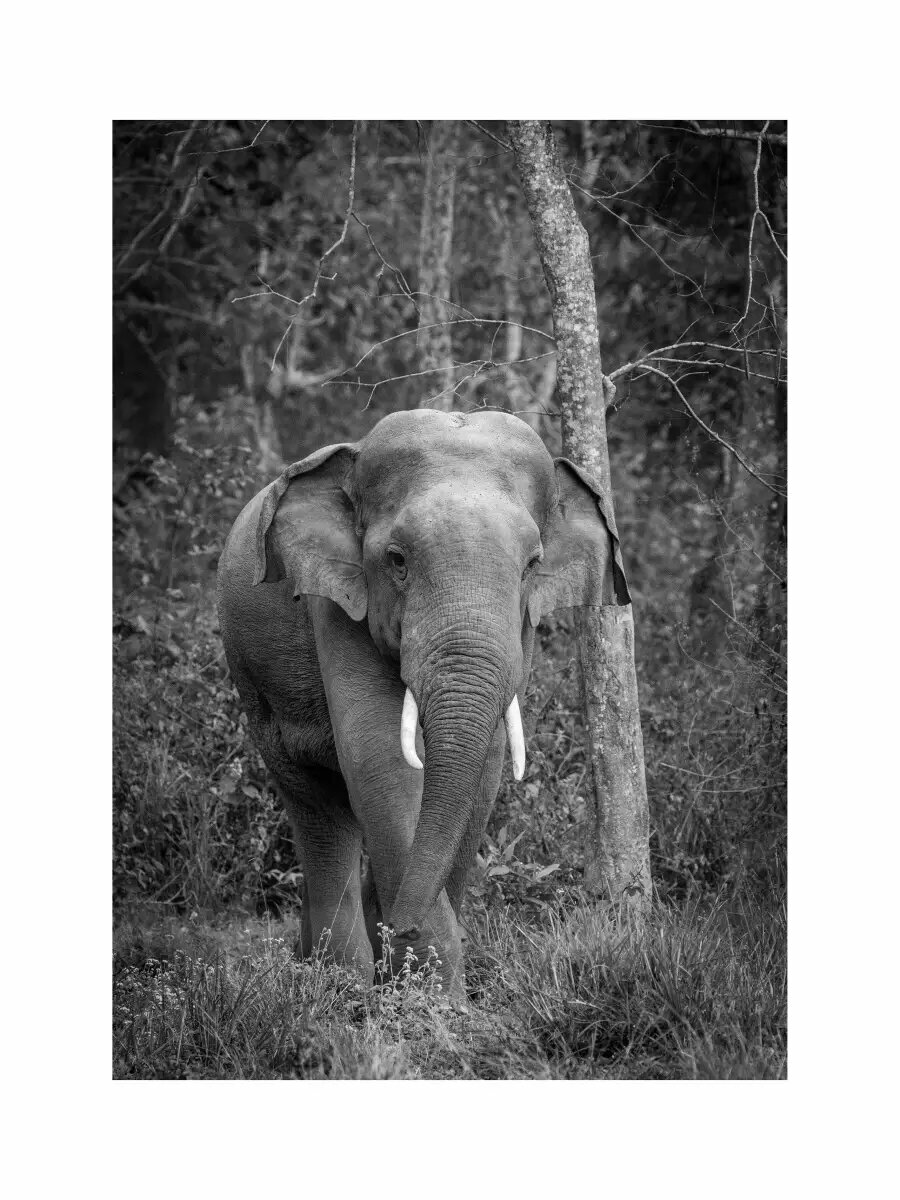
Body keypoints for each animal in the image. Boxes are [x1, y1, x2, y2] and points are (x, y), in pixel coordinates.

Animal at [216, 408, 629, 997]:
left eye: (532, 564)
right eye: (396, 560)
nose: (402, 926)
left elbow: (484, 771)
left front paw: (418, 988)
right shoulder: (336, 602)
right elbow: (383, 758)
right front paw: (429, 997)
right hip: (255, 688)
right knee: (318, 808)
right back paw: (340, 982)